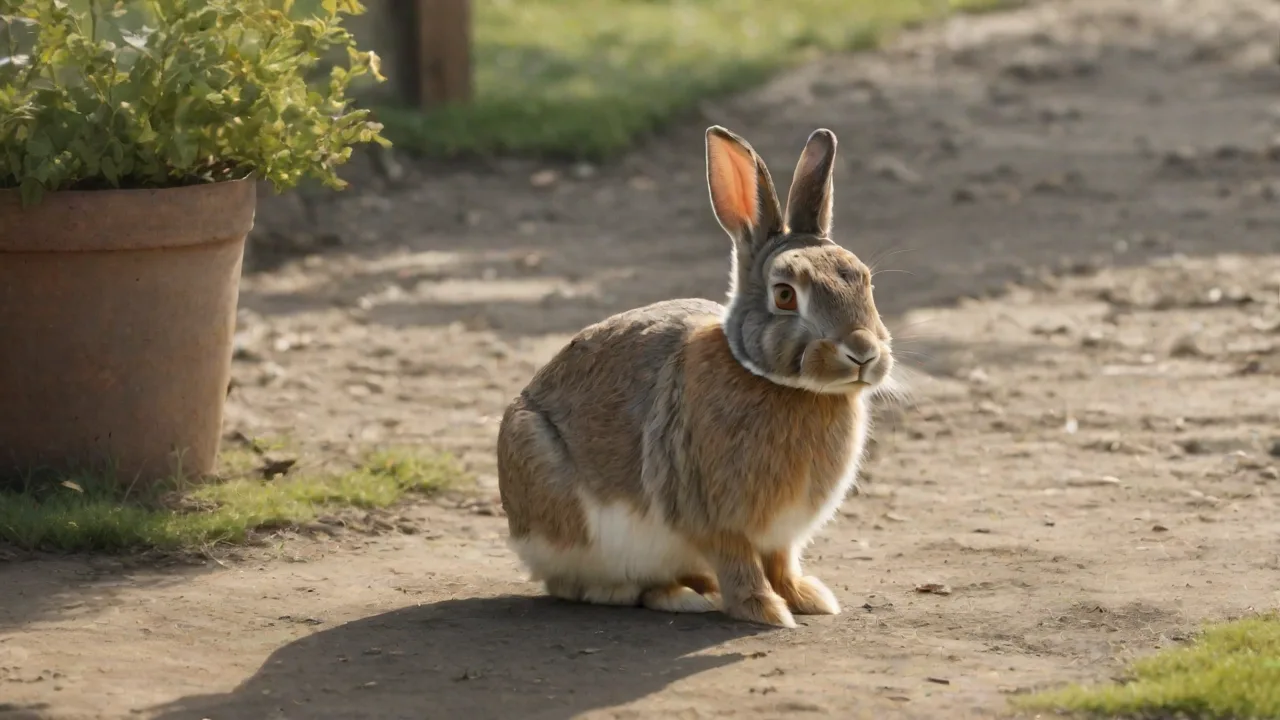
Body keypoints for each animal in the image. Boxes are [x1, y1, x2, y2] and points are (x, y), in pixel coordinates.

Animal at [496, 126, 895, 628]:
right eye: (785, 295)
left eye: (866, 282)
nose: (863, 352)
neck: (781, 384)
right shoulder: (712, 516)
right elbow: (740, 563)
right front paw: (765, 611)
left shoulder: (781, 536)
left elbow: (782, 563)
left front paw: (808, 598)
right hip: (560, 498)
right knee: (588, 586)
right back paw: (679, 596)